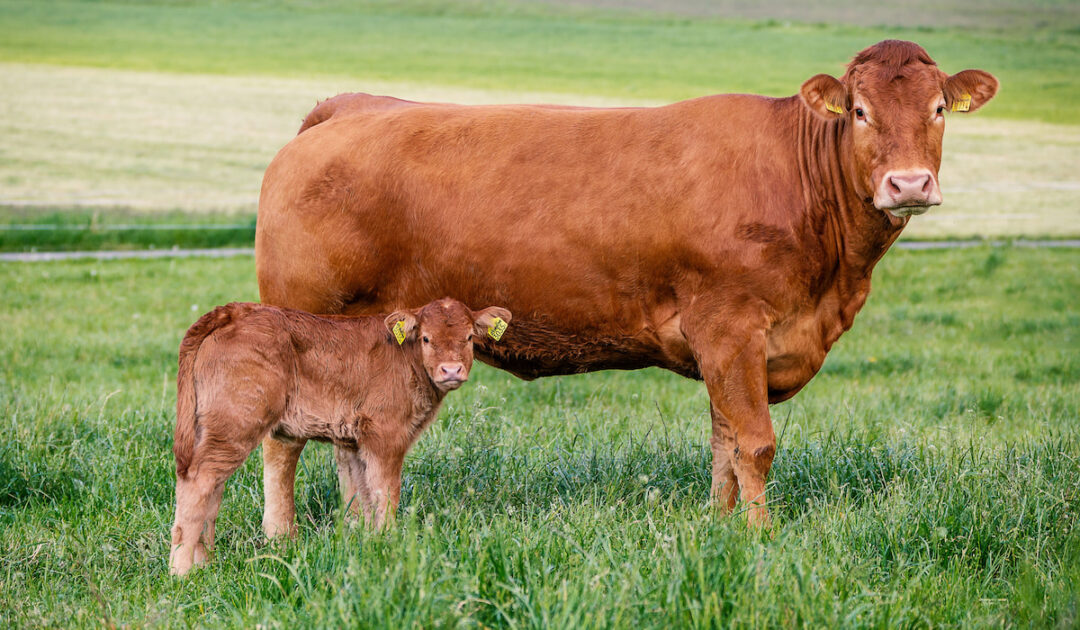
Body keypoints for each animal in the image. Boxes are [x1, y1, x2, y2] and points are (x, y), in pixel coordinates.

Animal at [168, 298, 511, 575]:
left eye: (469, 337)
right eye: (427, 338)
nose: (451, 370)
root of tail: (233, 311)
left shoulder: (356, 441)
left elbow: (363, 495)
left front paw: (369, 543)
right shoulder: (386, 434)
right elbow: (386, 493)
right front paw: (389, 545)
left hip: (212, 427)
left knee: (211, 487)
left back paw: (205, 562)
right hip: (237, 421)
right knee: (198, 481)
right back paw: (182, 571)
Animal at [254, 40, 998, 529]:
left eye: (939, 108)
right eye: (861, 112)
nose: (909, 184)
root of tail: (348, 107)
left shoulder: (729, 346)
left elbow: (724, 444)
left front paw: (720, 531)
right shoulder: (730, 325)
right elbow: (755, 442)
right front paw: (762, 541)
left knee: (345, 443)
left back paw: (360, 529)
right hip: (299, 319)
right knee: (282, 441)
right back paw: (282, 537)